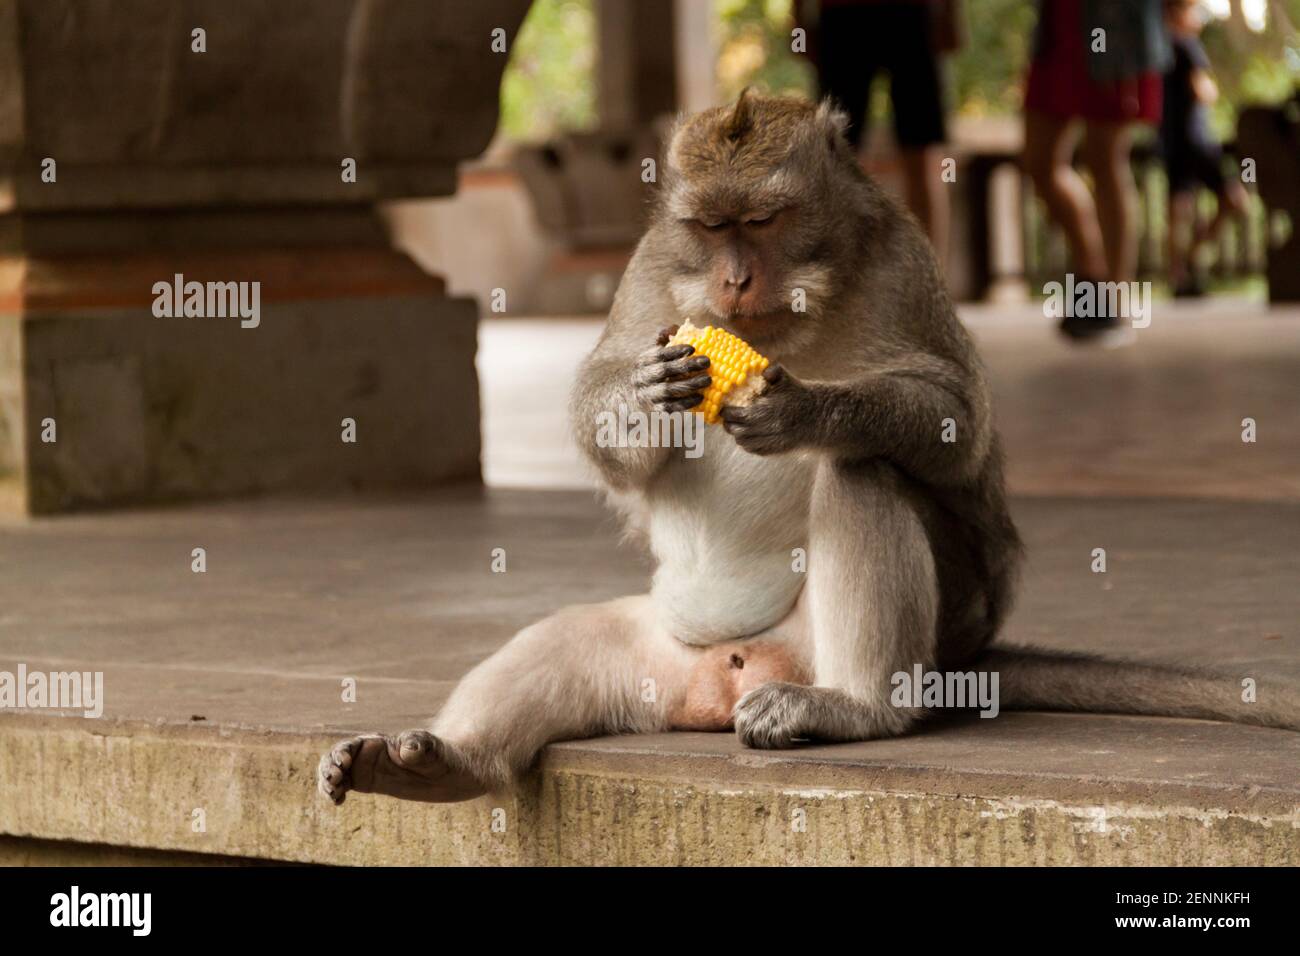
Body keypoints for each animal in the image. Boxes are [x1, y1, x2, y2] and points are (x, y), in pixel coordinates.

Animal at [319, 92, 1299, 806]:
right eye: (711, 228)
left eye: (762, 220)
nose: (732, 278)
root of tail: (727, 681)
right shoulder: (651, 264)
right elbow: (601, 402)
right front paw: (644, 393)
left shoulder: (903, 258)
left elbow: (953, 418)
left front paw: (809, 411)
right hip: (655, 658)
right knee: (564, 646)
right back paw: (441, 764)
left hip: (896, 637)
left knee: (865, 473)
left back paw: (858, 709)